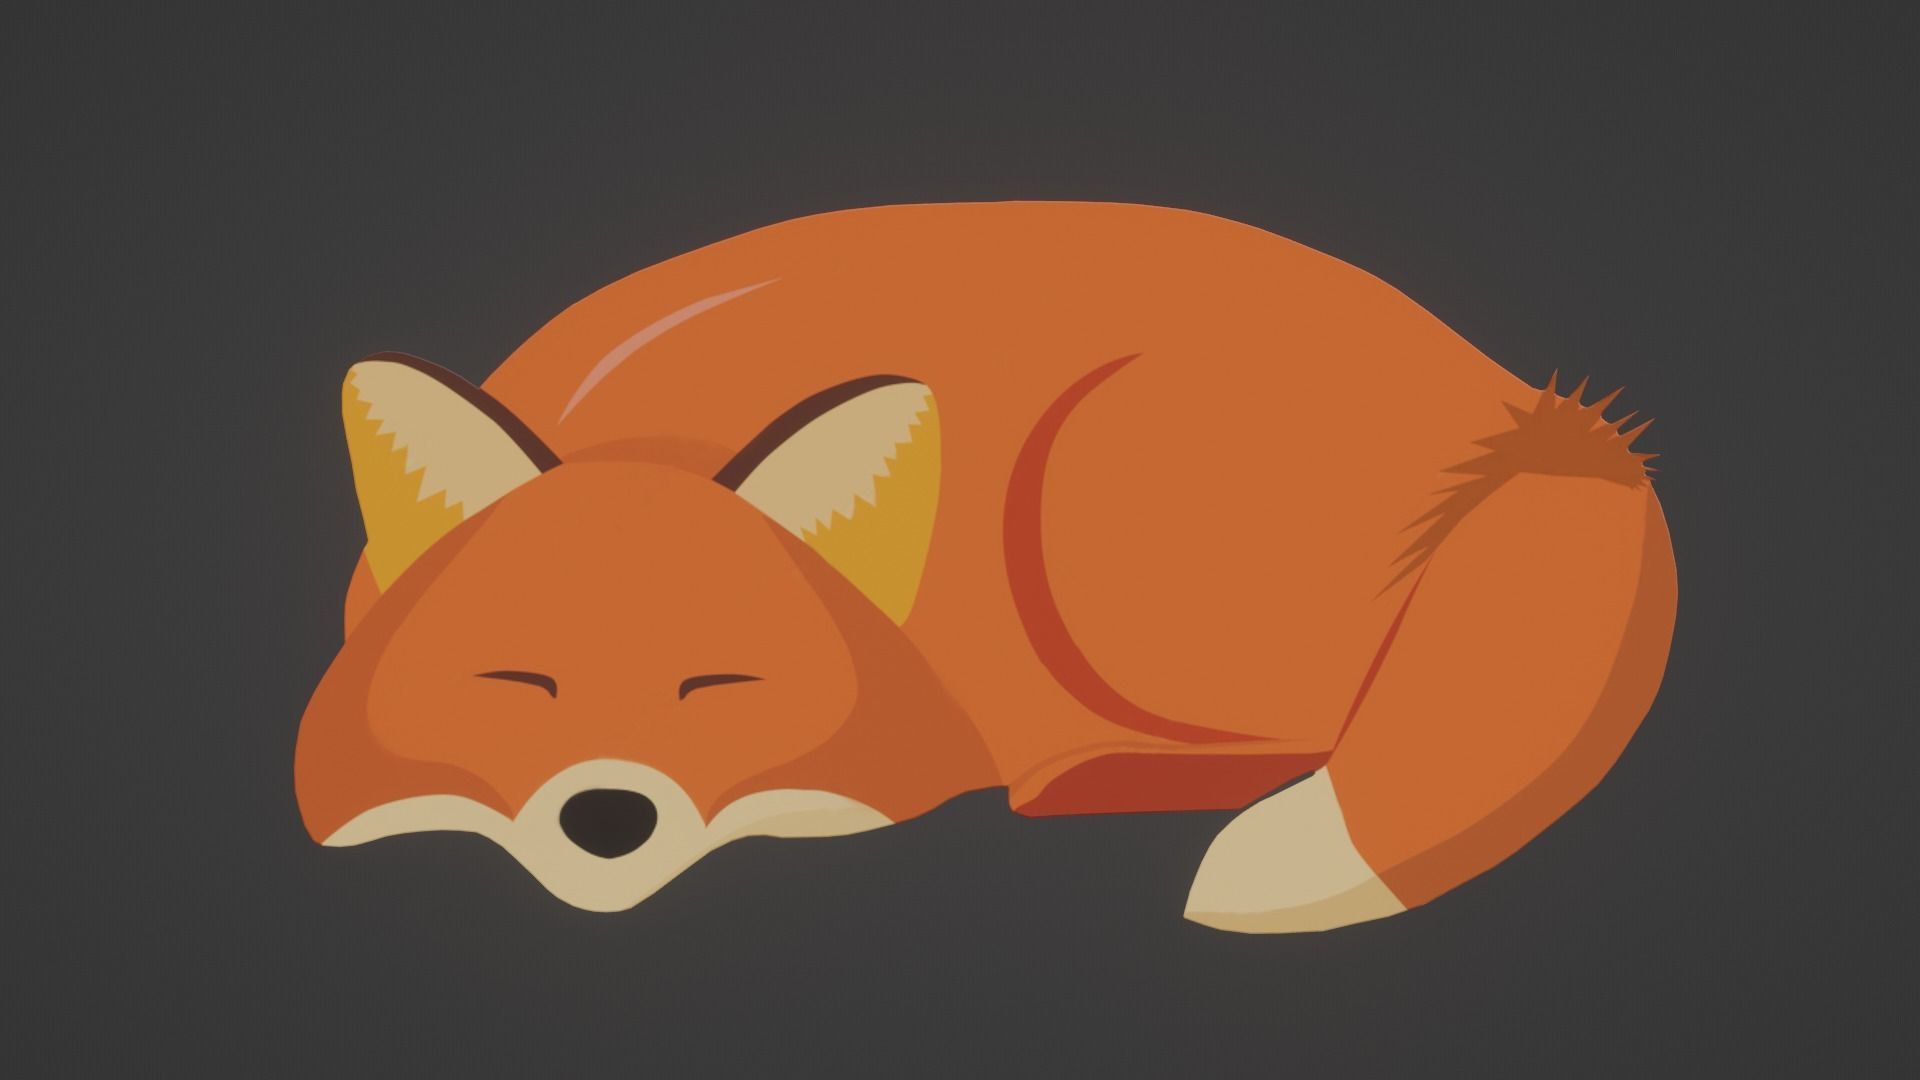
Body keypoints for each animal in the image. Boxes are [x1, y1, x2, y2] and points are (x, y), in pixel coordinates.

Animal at [296, 201, 1676, 932]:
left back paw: (1092, 776)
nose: (606, 815)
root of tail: (1540, 417)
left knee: (1312, 732)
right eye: (515, 686)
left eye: (720, 690)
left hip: (1094, 512)